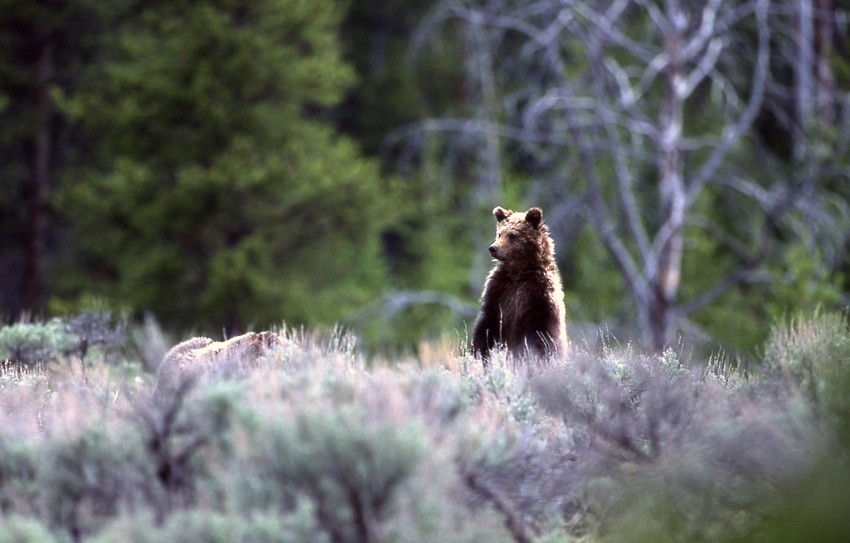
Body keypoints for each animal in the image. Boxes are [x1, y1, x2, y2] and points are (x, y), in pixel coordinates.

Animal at [472, 206, 567, 363]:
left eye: (512, 235)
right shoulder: (499, 291)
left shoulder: (539, 295)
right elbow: (488, 323)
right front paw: (480, 351)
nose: (493, 248)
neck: (518, 273)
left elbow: (539, 333)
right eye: (500, 233)